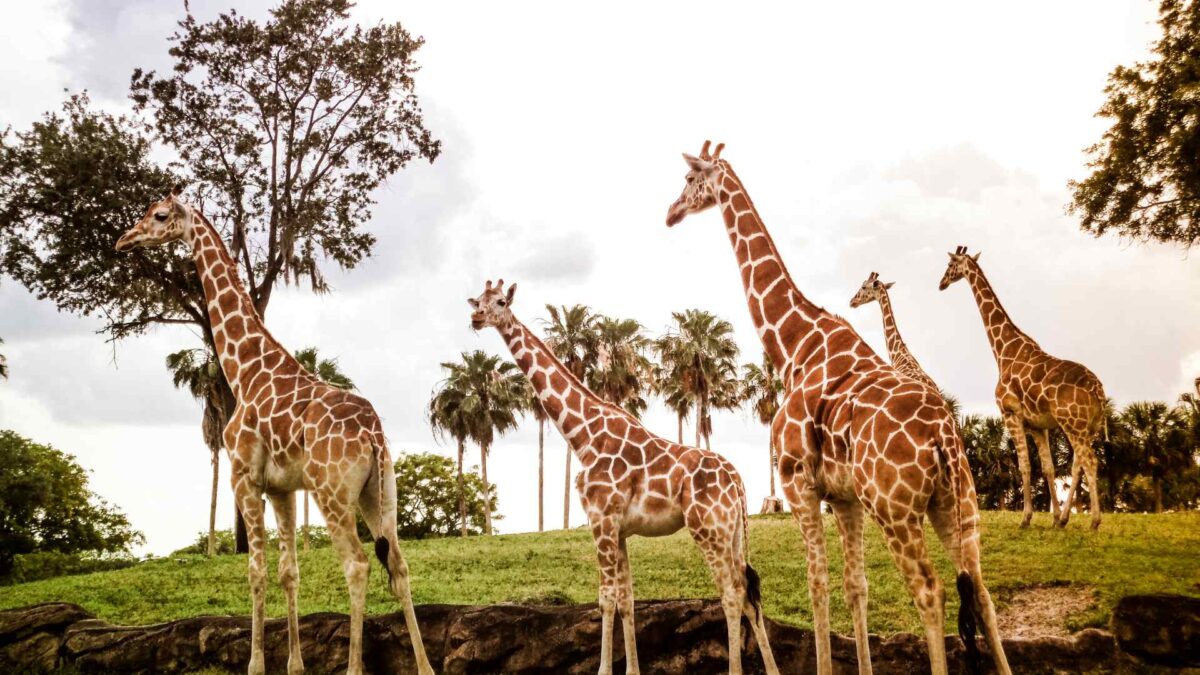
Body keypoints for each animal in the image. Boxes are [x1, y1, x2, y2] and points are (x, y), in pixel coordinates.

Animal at [116, 188, 434, 675]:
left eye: (160, 215)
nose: (124, 240)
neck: (244, 371)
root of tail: (374, 435)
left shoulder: (243, 477)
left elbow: (256, 571)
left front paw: (256, 664)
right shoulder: (283, 488)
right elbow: (289, 572)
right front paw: (295, 664)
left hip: (331, 493)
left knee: (358, 566)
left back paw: (354, 667)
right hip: (380, 492)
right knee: (398, 565)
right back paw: (424, 666)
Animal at [469, 279, 778, 675]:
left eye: (500, 302)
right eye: (477, 301)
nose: (476, 319)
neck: (583, 435)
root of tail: (738, 482)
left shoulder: (601, 519)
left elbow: (606, 598)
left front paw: (603, 669)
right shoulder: (619, 529)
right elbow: (627, 599)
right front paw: (632, 669)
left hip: (708, 529)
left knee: (732, 592)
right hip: (733, 531)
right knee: (750, 592)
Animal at [665, 141, 1011, 675]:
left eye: (688, 179)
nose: (671, 213)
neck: (794, 344)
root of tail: (944, 439)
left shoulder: (798, 484)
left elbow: (818, 586)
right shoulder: (845, 498)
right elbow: (855, 587)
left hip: (896, 508)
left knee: (930, 592)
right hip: (956, 504)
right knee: (982, 593)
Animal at [939, 245, 1108, 530]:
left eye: (950, 264)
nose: (941, 283)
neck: (1004, 351)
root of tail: (1098, 390)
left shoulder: (1011, 414)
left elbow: (1024, 466)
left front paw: (1026, 518)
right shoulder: (1039, 426)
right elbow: (1048, 468)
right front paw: (1053, 518)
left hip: (1073, 424)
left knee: (1090, 461)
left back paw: (1094, 522)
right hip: (1088, 428)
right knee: (1079, 464)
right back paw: (1066, 519)